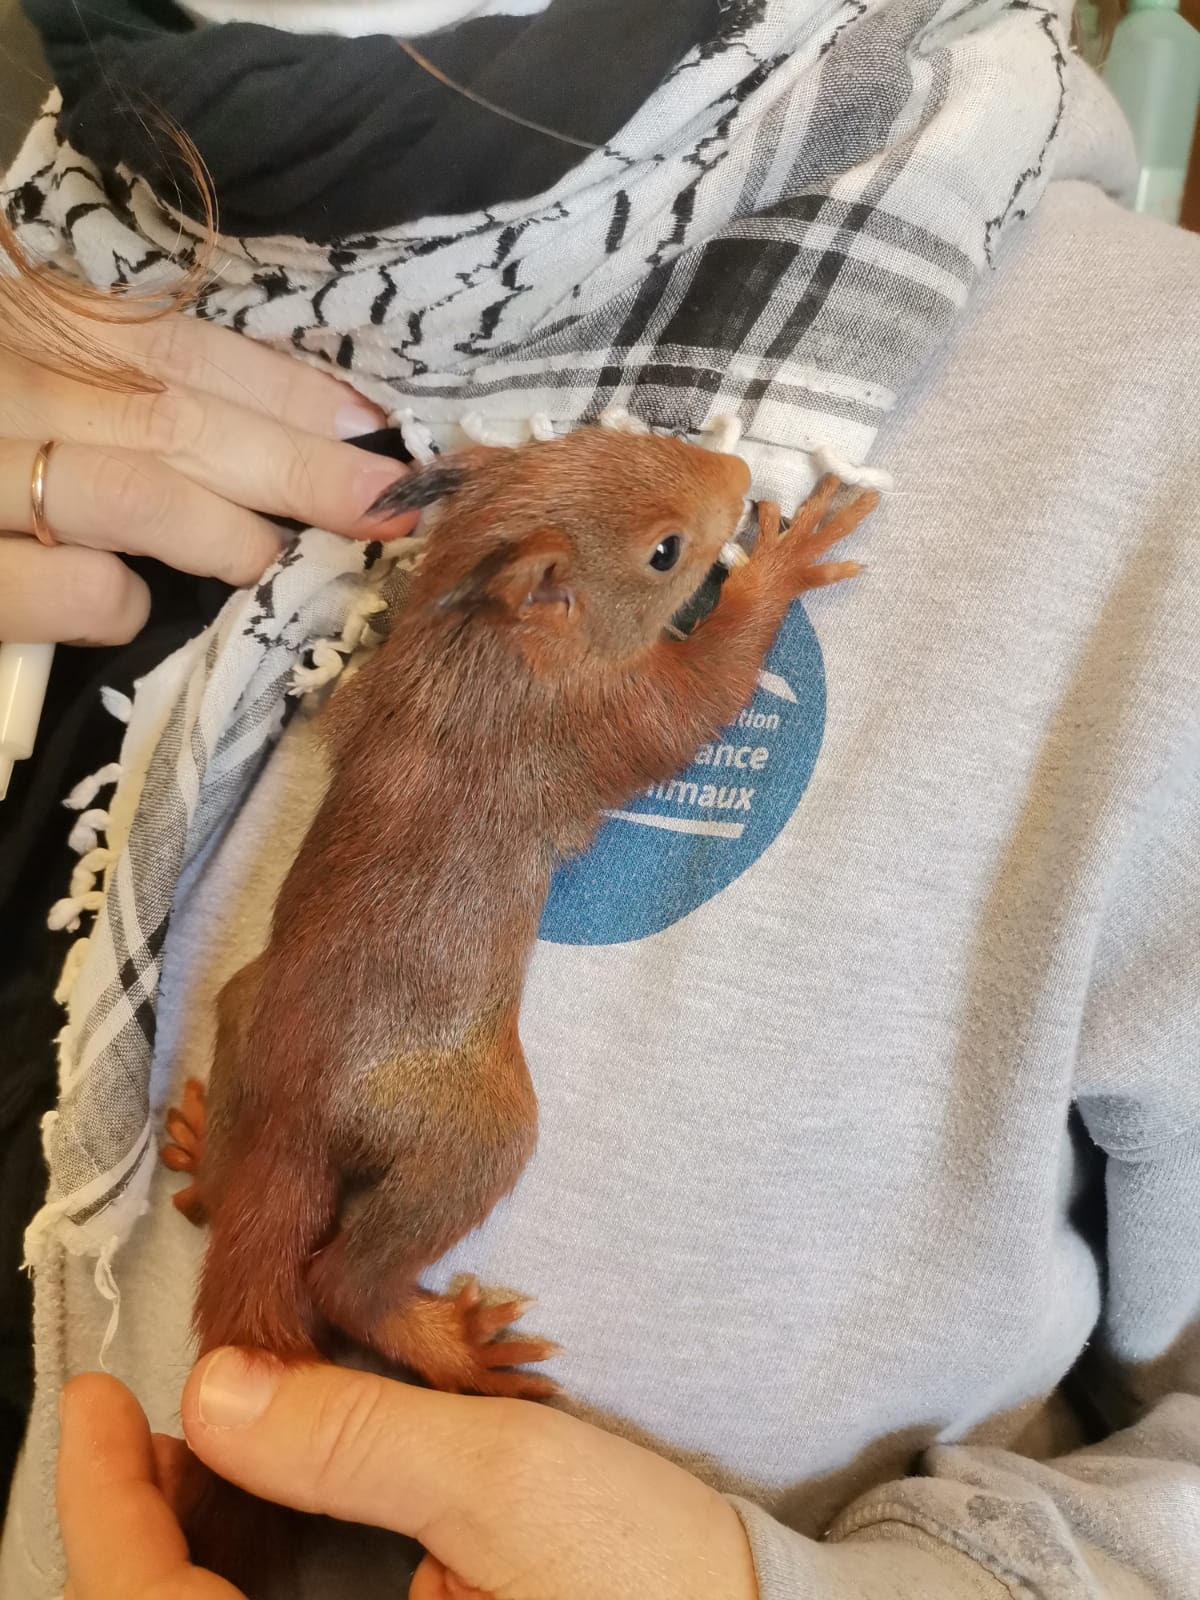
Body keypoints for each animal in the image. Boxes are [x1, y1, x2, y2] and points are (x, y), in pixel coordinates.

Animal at [160, 425, 877, 1591]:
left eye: (613, 435)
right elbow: (699, 695)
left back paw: (201, 1155)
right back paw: (450, 1348)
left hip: (238, 1011)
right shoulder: (586, 721)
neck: (471, 635)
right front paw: (779, 567)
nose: (734, 476)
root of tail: (288, 1120)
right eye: (665, 552)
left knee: (231, 1170)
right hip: (469, 1127)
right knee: (344, 1278)